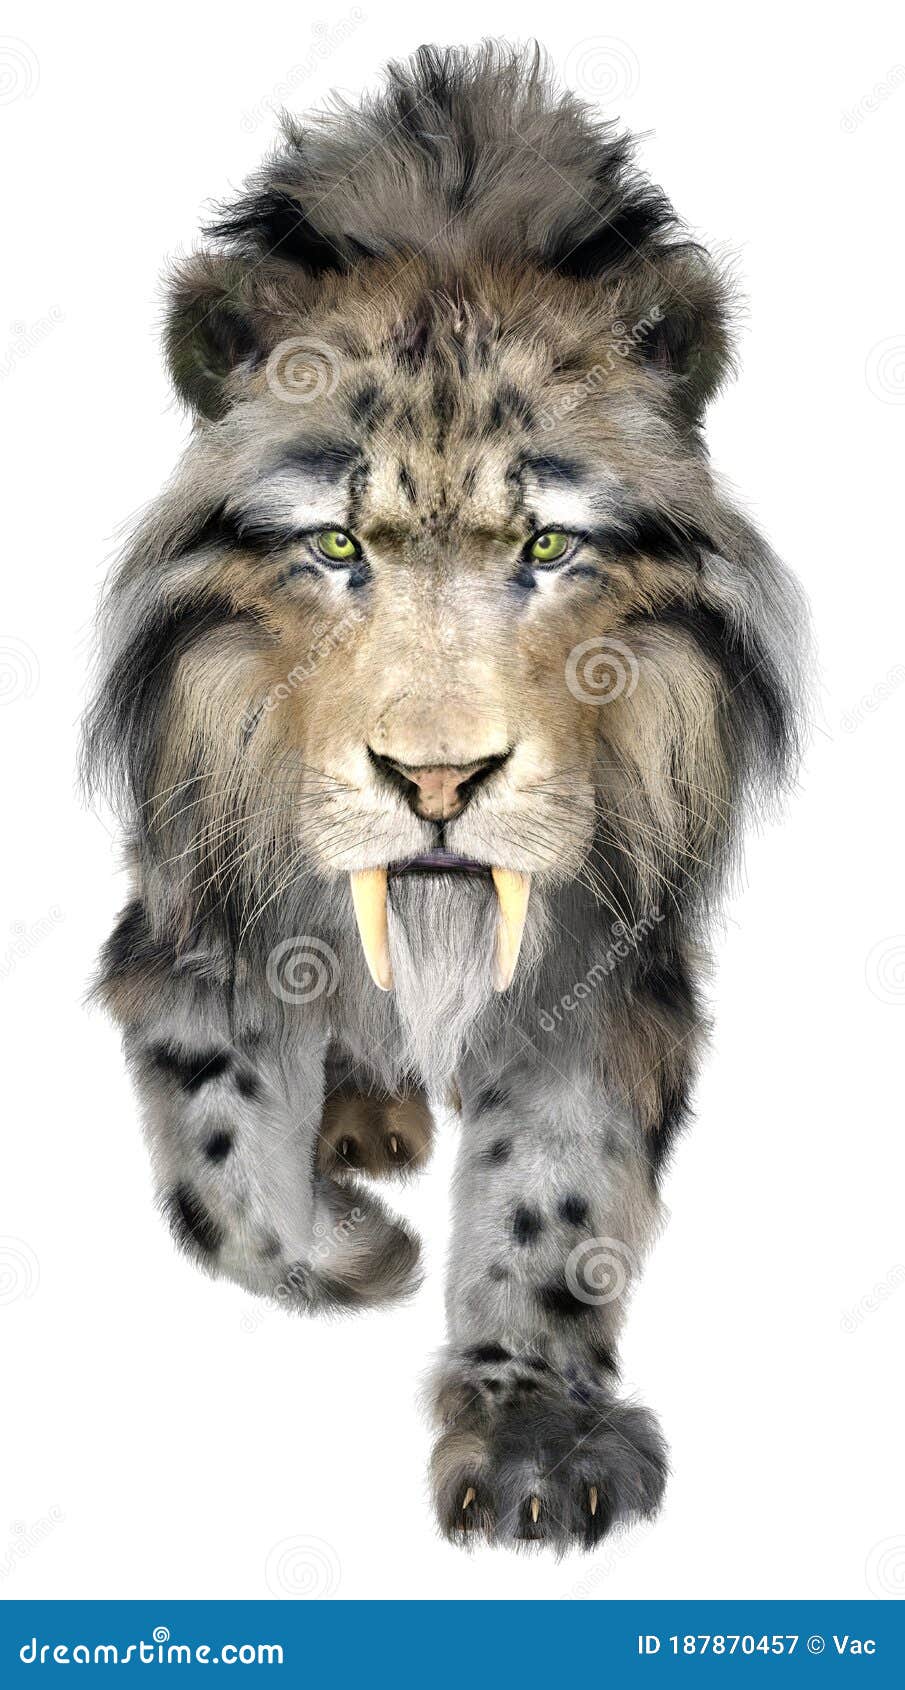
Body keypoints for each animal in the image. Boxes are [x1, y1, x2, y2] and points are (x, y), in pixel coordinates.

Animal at [84, 43, 806, 1551]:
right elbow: (226, 1172)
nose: (433, 780)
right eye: (332, 547)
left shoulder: (604, 957)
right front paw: (359, 1247)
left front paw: (534, 1441)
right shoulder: (188, 921)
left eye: (545, 547)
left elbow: (556, 1203)